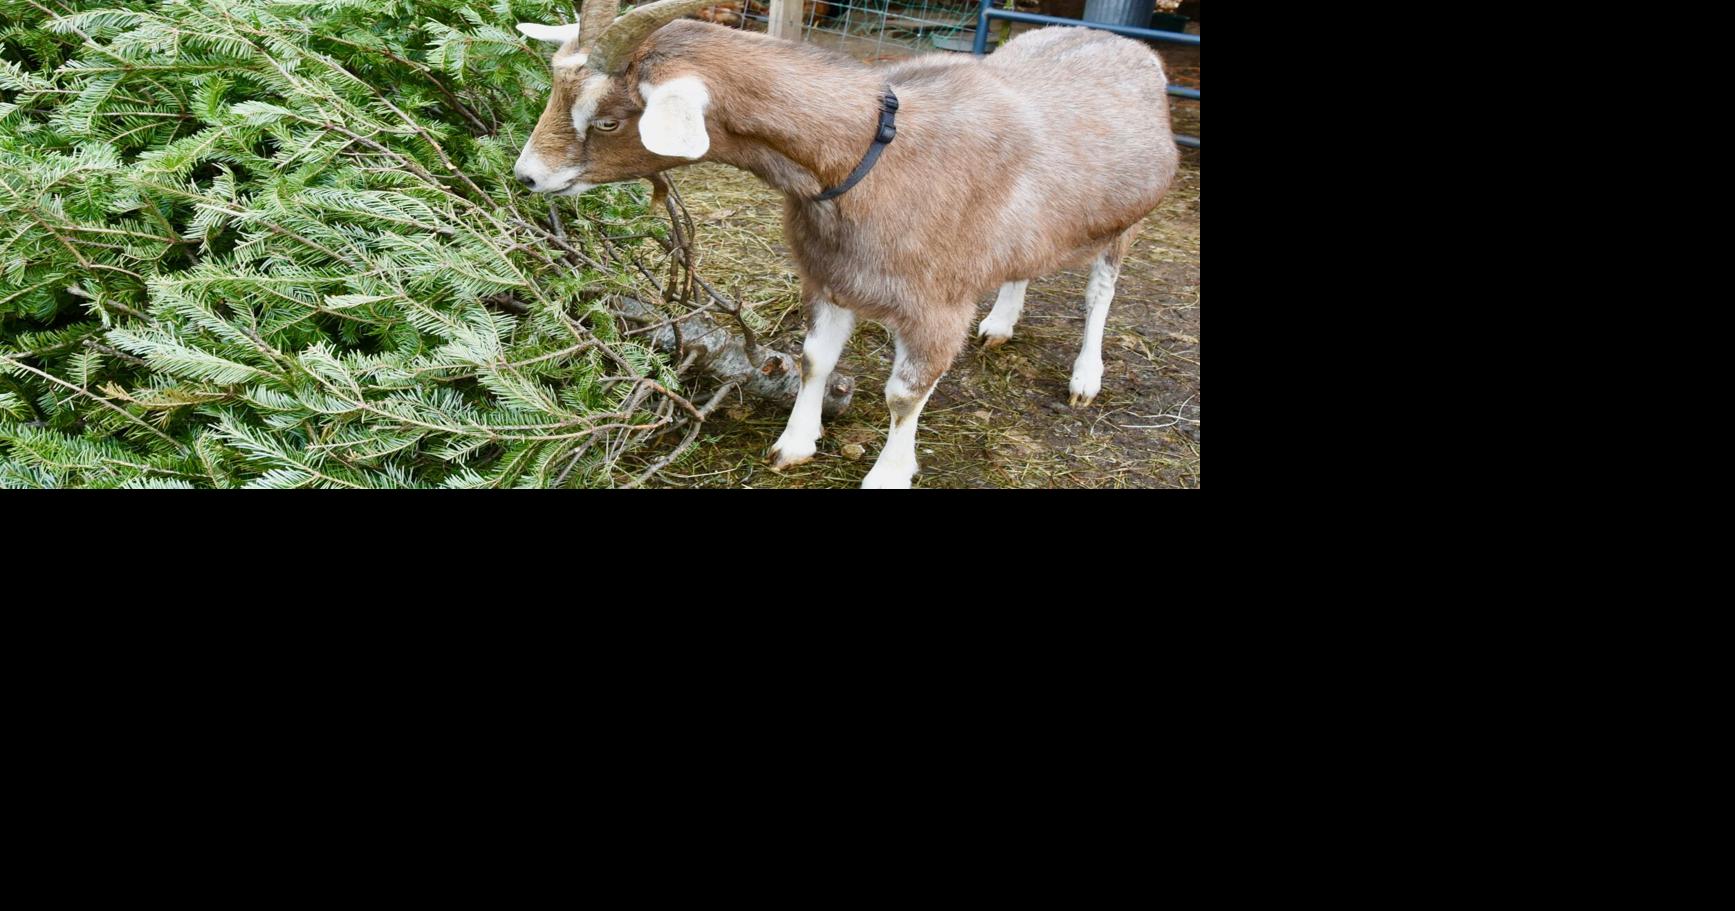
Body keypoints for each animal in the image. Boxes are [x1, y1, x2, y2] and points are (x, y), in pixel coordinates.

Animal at [514, 0, 1179, 488]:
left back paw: (1085, 376)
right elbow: (814, 360)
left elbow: (903, 396)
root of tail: (1130, 46)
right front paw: (794, 443)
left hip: (1128, 223)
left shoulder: (937, 307)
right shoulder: (829, 277)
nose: (526, 177)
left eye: (607, 120)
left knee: (1100, 295)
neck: (870, 155)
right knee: (1026, 264)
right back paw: (1001, 322)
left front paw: (888, 474)